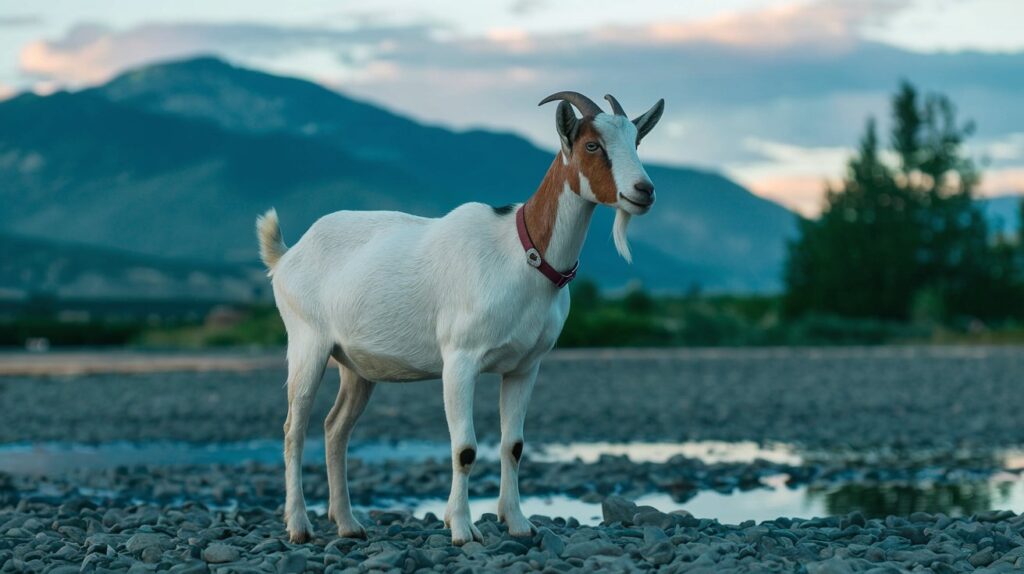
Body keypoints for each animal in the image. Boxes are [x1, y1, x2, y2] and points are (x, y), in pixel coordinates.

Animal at [256, 91, 664, 545]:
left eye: (637, 142)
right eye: (593, 145)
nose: (644, 191)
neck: (522, 252)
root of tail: (287, 255)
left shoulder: (525, 367)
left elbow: (514, 445)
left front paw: (517, 523)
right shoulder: (460, 360)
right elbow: (464, 448)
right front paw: (462, 528)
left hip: (357, 367)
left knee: (335, 428)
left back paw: (348, 524)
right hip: (306, 342)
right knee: (294, 428)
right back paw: (299, 525)